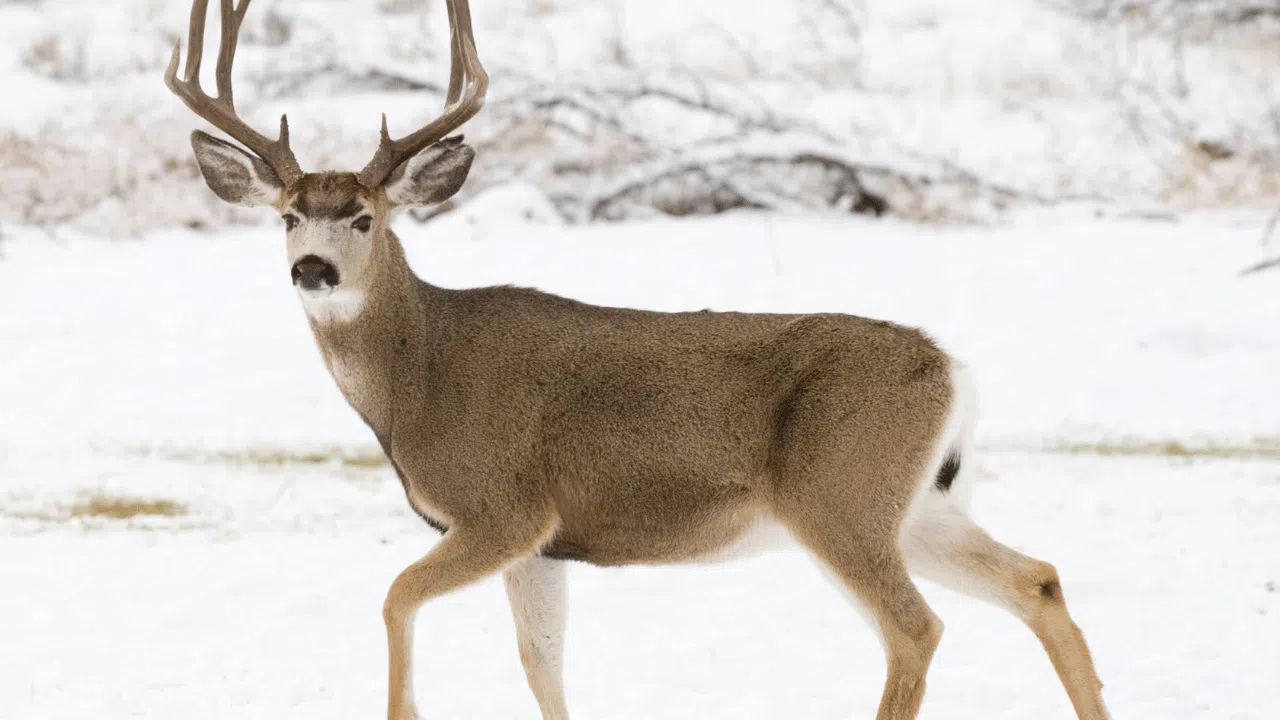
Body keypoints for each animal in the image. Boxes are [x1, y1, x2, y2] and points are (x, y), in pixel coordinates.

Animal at [164, 1, 1111, 719]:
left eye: (364, 217)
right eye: (289, 215)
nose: (312, 270)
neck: (417, 379)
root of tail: (951, 368)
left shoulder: (501, 507)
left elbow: (396, 597)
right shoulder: (544, 546)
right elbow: (542, 665)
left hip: (840, 496)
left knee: (916, 629)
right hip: (918, 506)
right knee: (1038, 581)